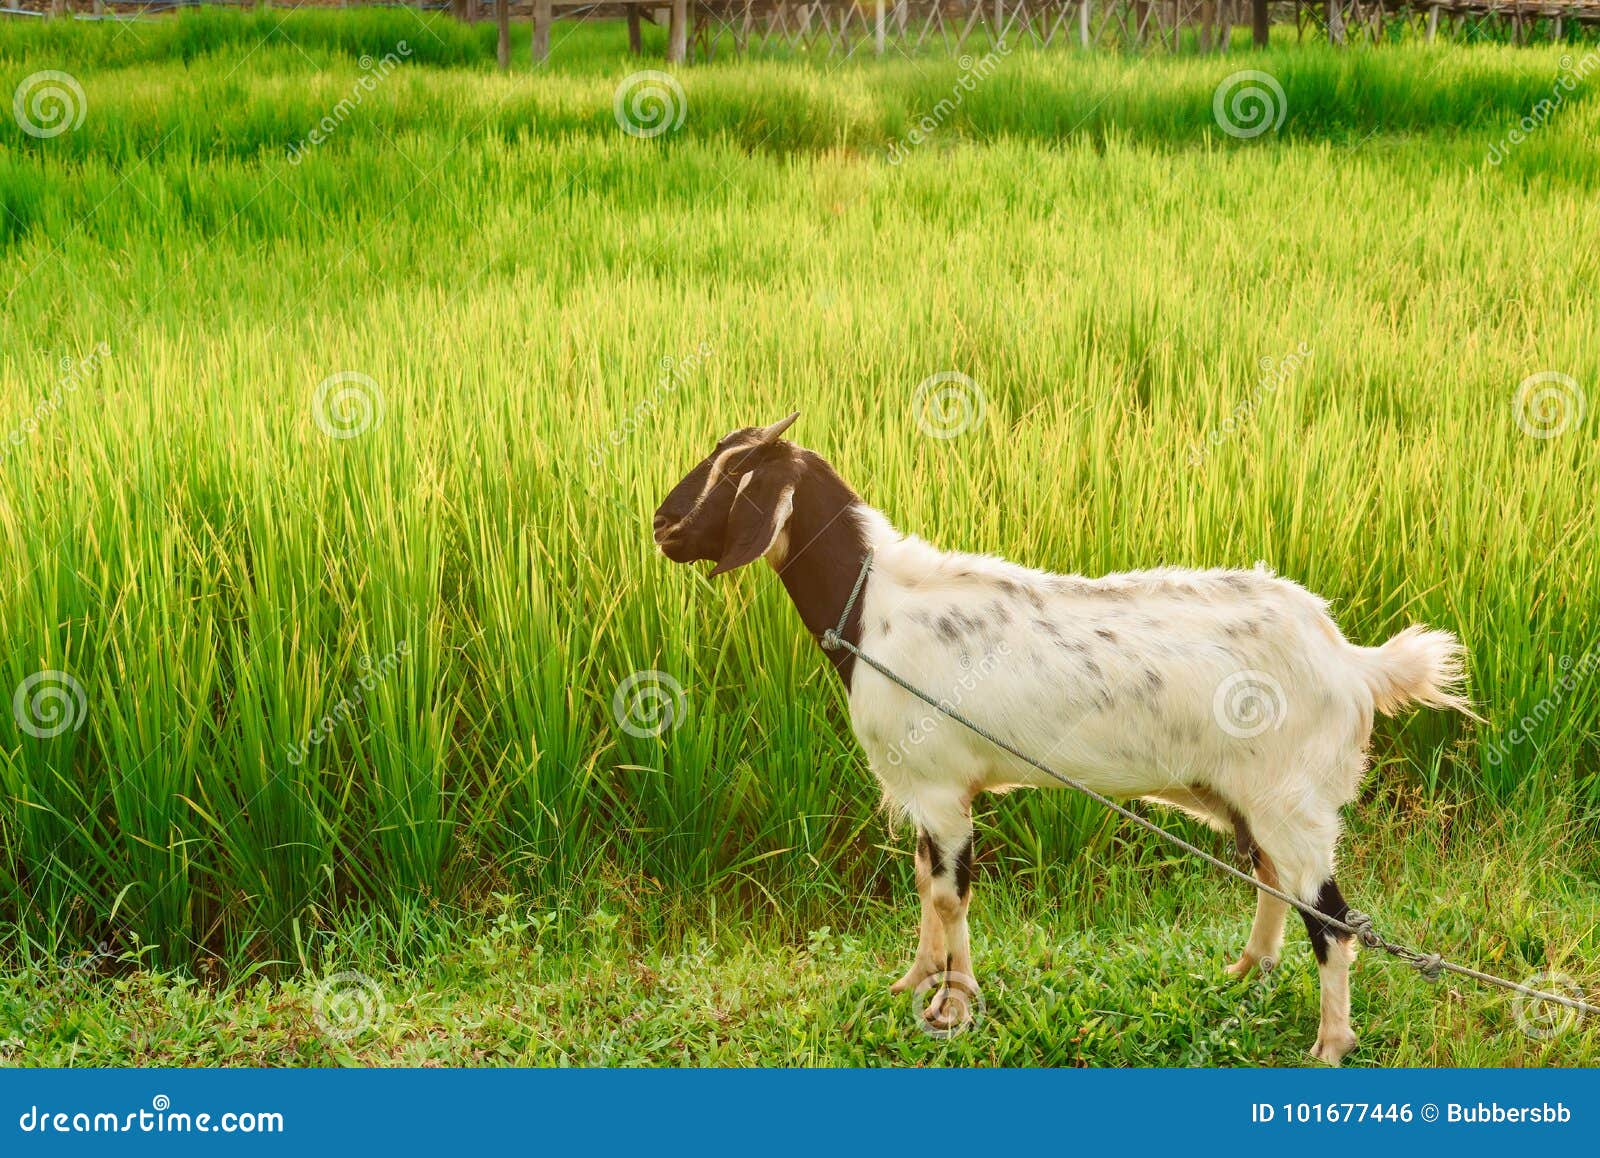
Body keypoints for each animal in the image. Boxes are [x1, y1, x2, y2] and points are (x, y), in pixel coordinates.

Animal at [652, 413, 1477, 1065]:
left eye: (735, 473)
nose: (661, 526)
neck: (874, 608)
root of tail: (1353, 662)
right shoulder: (925, 788)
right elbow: (924, 885)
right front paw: (915, 981)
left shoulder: (943, 788)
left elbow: (950, 894)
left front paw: (953, 1006)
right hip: (1254, 795)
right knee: (1273, 880)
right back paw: (1247, 972)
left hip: (1294, 798)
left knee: (1332, 919)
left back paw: (1329, 1045)